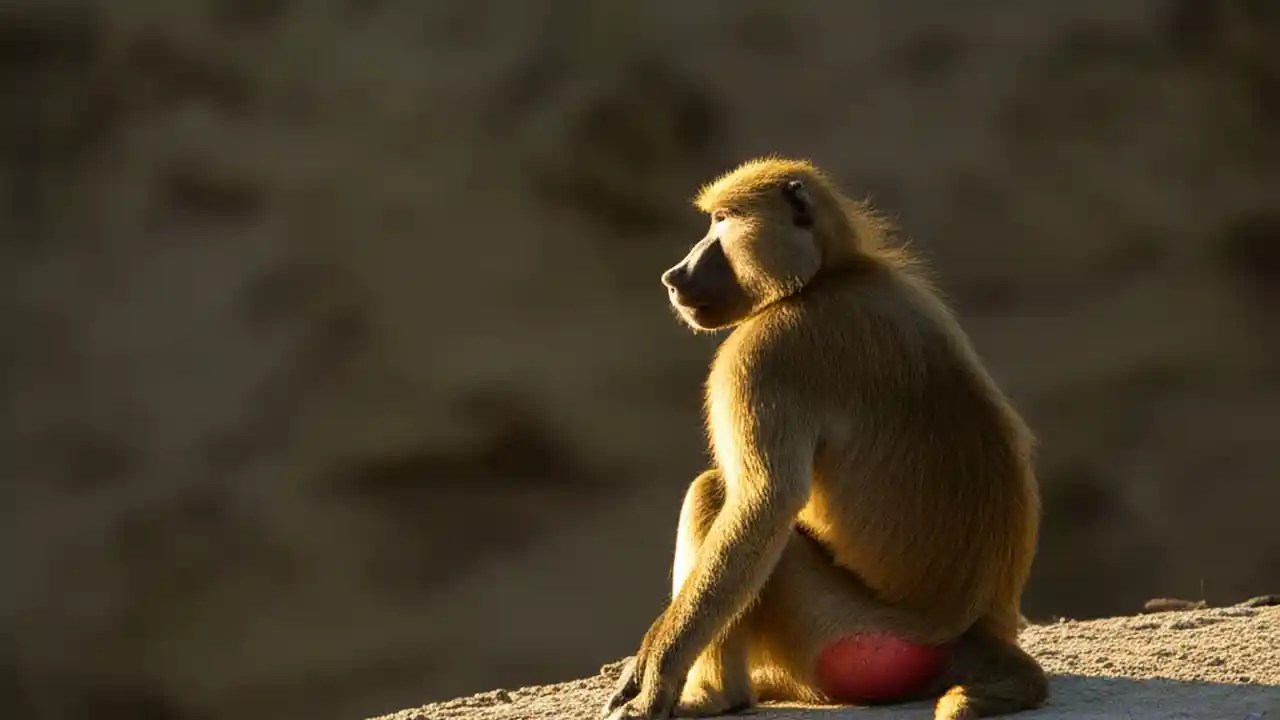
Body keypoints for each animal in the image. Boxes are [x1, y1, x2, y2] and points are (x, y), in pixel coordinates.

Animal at [602, 157, 1047, 720]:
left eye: (723, 221)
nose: (674, 275)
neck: (824, 279)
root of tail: (973, 633)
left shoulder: (764, 354)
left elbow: (764, 505)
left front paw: (655, 675)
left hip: (841, 629)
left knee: (717, 492)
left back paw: (716, 696)